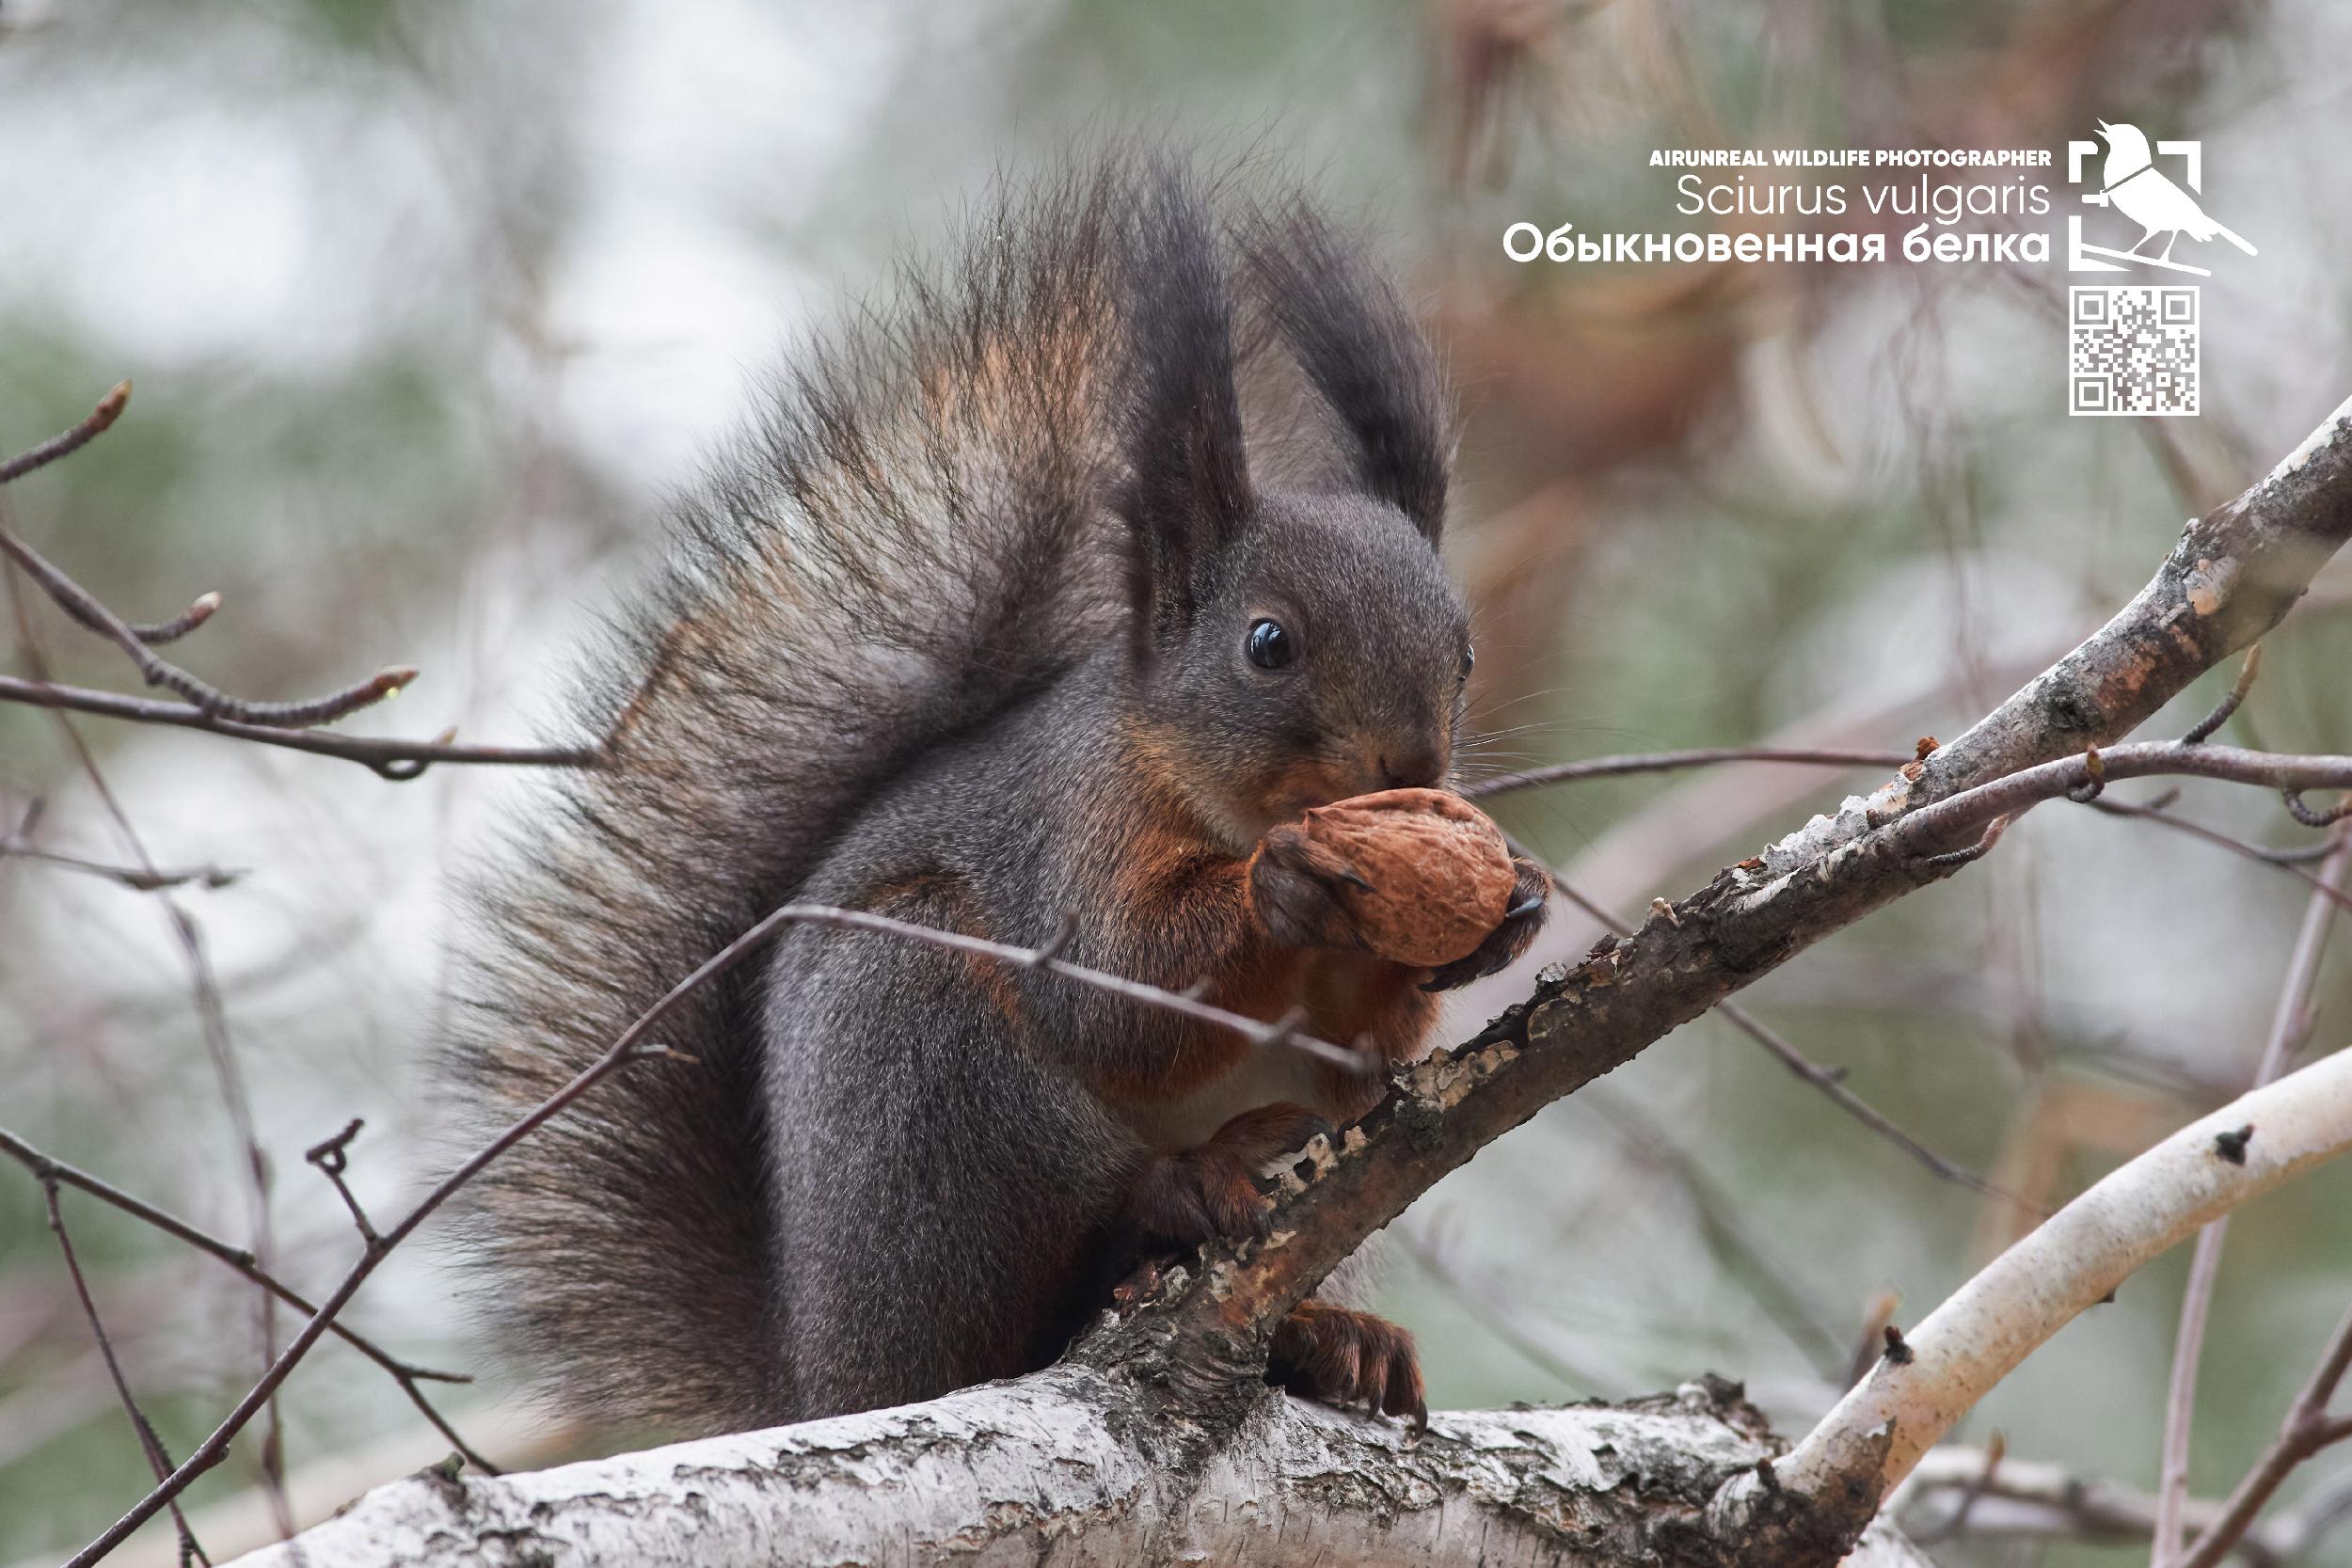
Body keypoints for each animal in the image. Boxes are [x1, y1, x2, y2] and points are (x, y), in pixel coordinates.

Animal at [437, 159, 1543, 1448]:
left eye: (1464, 654)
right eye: (1268, 643)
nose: (1413, 761)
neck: (1194, 786)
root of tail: (823, 1378)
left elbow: (1362, 1050)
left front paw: (1505, 911)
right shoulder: (1072, 828)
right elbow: (1115, 996)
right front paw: (1287, 880)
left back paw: (1333, 1337)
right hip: (926, 1047)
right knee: (1022, 1292)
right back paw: (1176, 1192)